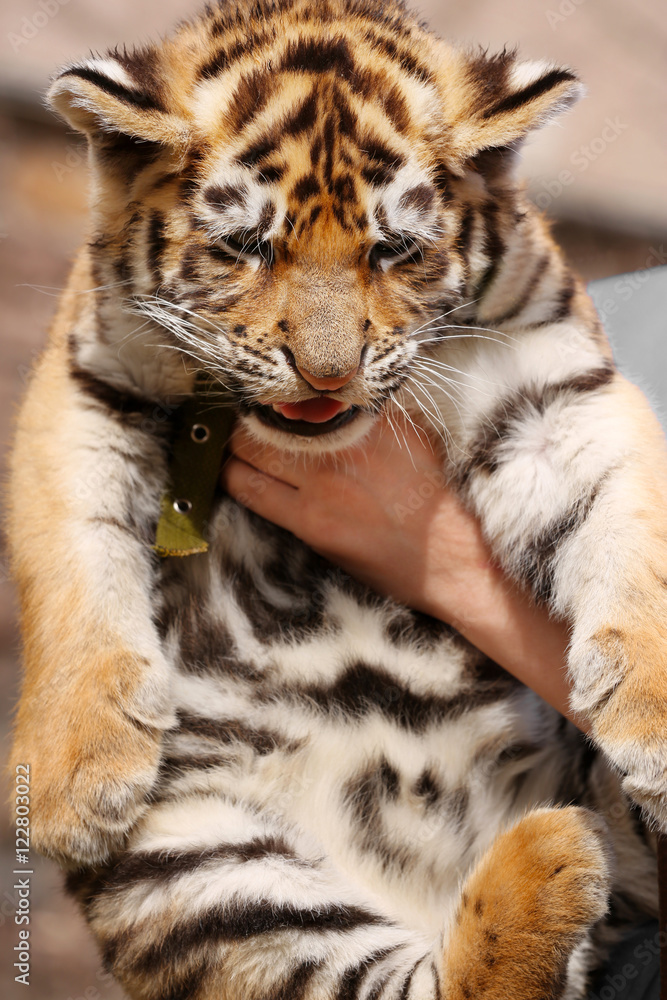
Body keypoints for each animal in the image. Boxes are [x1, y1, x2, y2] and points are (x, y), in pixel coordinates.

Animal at [8, 0, 667, 997]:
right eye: (246, 246)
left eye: (393, 249)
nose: (326, 374)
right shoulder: (86, 379)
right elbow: (71, 552)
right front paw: (70, 782)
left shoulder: (551, 388)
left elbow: (631, 514)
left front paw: (657, 718)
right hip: (204, 868)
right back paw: (550, 857)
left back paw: (562, 843)